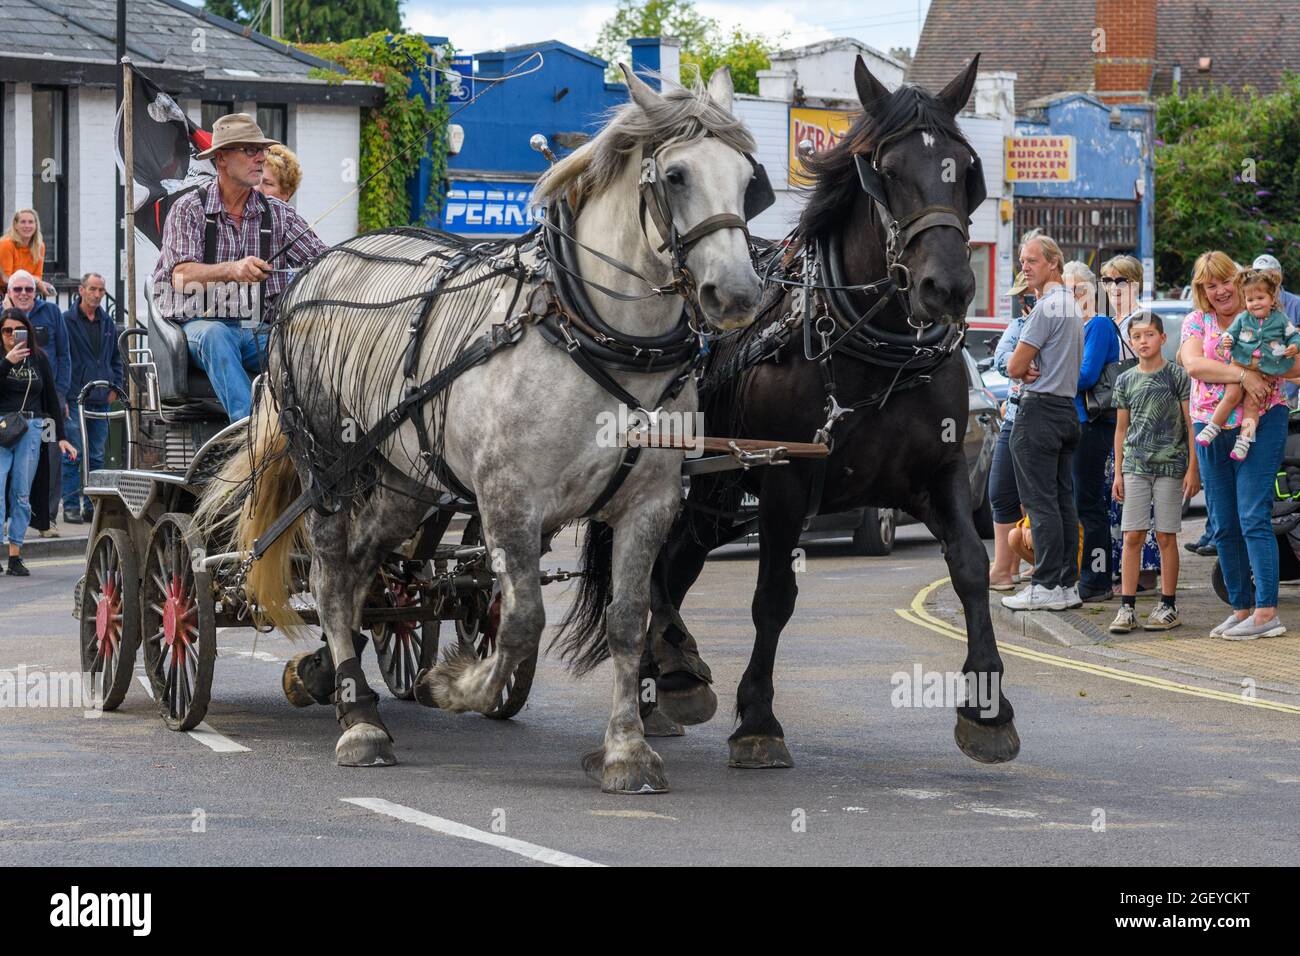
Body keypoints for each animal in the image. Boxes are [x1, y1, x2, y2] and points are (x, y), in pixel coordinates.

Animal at [194, 65, 768, 794]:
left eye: (749, 179)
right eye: (676, 176)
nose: (737, 295)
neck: (592, 336)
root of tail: (311, 273)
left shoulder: (651, 502)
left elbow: (626, 622)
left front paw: (626, 750)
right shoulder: (508, 500)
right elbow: (522, 620)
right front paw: (455, 684)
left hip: (403, 479)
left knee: (360, 567)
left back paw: (334, 678)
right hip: (327, 467)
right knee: (327, 577)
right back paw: (358, 721)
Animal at [637, 54, 1022, 769]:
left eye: (964, 167)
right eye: (887, 170)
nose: (949, 288)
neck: (876, 351)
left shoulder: (940, 475)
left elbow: (970, 567)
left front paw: (987, 708)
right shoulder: (788, 479)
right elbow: (773, 597)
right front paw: (758, 720)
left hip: (715, 497)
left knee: (673, 567)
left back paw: (662, 683)